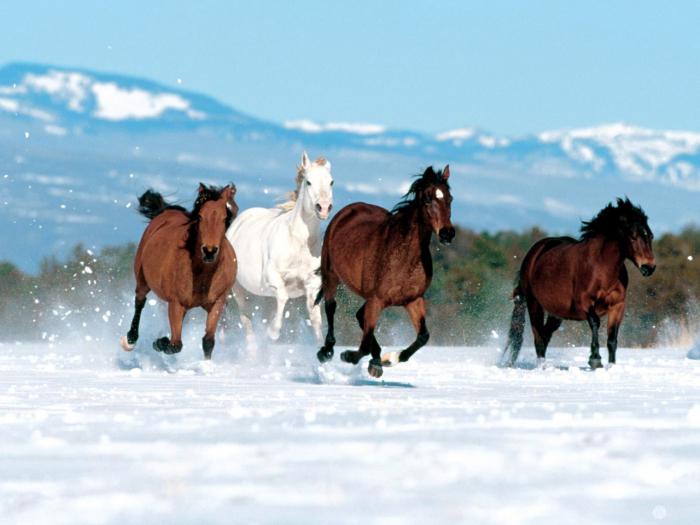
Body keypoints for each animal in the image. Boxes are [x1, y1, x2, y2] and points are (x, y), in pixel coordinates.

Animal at [119, 182, 238, 358]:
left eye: (225, 218)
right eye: (200, 217)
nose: (209, 251)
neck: (203, 274)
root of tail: (167, 211)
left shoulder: (217, 303)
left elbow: (208, 341)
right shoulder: (176, 304)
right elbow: (175, 344)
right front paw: (159, 342)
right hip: (142, 279)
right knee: (139, 301)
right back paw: (130, 340)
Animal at [226, 151, 332, 346]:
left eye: (331, 182)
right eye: (308, 182)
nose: (323, 208)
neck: (298, 242)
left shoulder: (312, 285)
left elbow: (315, 320)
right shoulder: (272, 278)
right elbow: (283, 297)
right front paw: (273, 332)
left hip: (265, 297)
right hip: (240, 291)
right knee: (247, 321)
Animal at [316, 166, 456, 374]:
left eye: (450, 198)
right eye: (428, 199)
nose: (447, 234)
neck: (403, 258)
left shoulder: (413, 300)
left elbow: (423, 337)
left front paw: (389, 359)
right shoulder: (377, 300)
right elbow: (364, 344)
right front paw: (348, 355)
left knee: (360, 316)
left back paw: (376, 361)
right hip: (331, 274)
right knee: (331, 306)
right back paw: (327, 351)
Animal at [504, 198, 656, 368]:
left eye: (650, 236)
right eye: (632, 236)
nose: (649, 267)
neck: (602, 267)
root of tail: (534, 252)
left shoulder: (617, 305)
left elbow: (612, 339)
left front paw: (611, 366)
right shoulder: (584, 303)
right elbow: (595, 322)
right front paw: (595, 359)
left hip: (556, 313)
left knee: (545, 335)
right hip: (534, 304)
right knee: (538, 338)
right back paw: (541, 367)